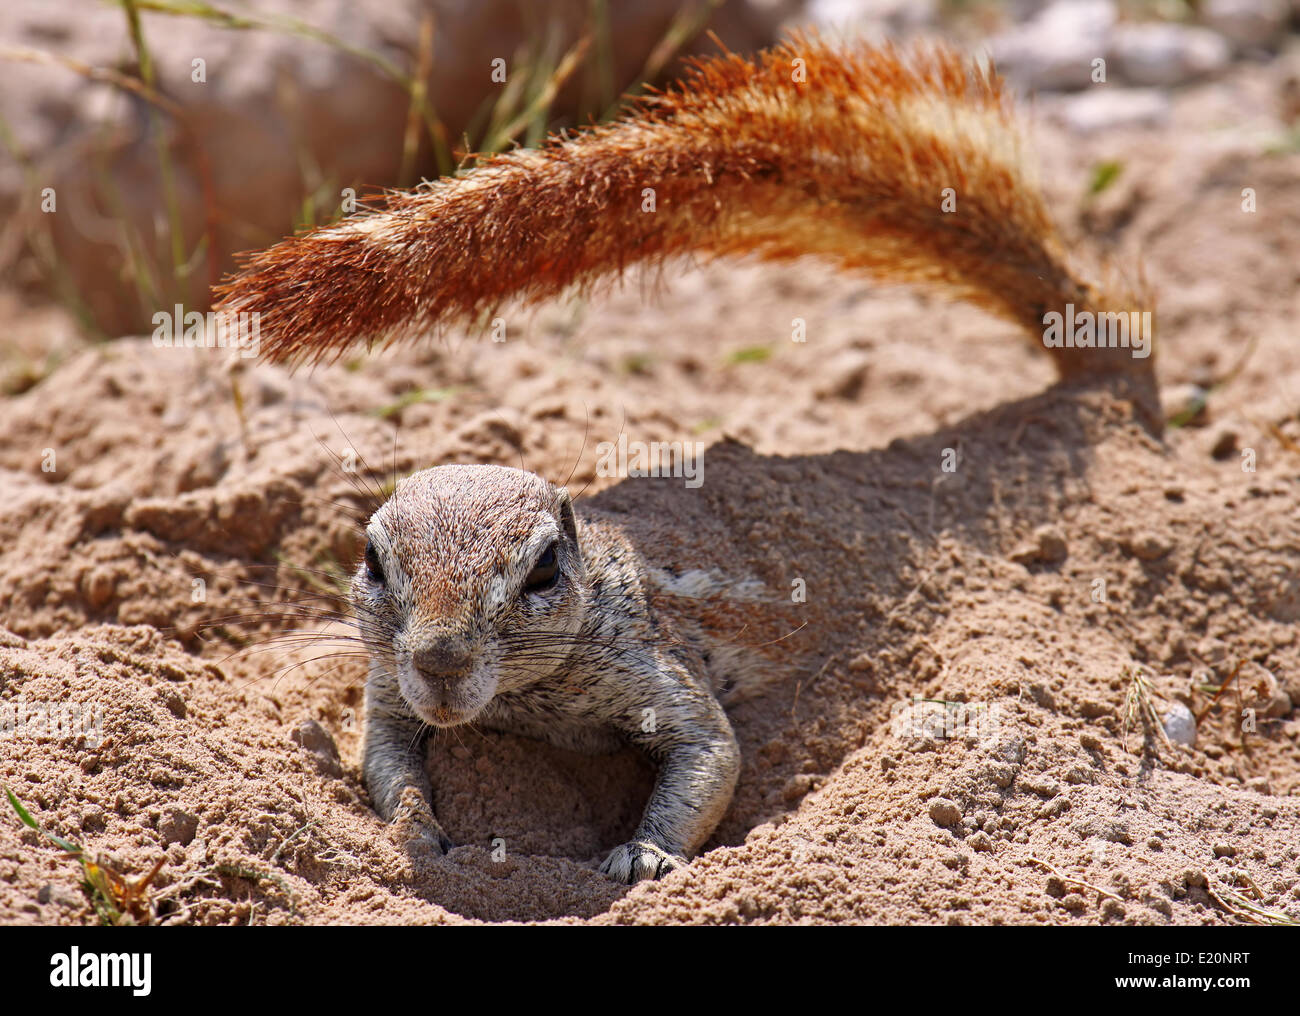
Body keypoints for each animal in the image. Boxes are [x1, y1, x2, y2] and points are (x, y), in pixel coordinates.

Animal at [213, 37, 1159, 882]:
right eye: (374, 561)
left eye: (544, 571)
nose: (441, 665)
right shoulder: (385, 685)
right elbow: (382, 761)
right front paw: (416, 828)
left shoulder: (661, 673)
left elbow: (711, 760)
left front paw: (647, 853)